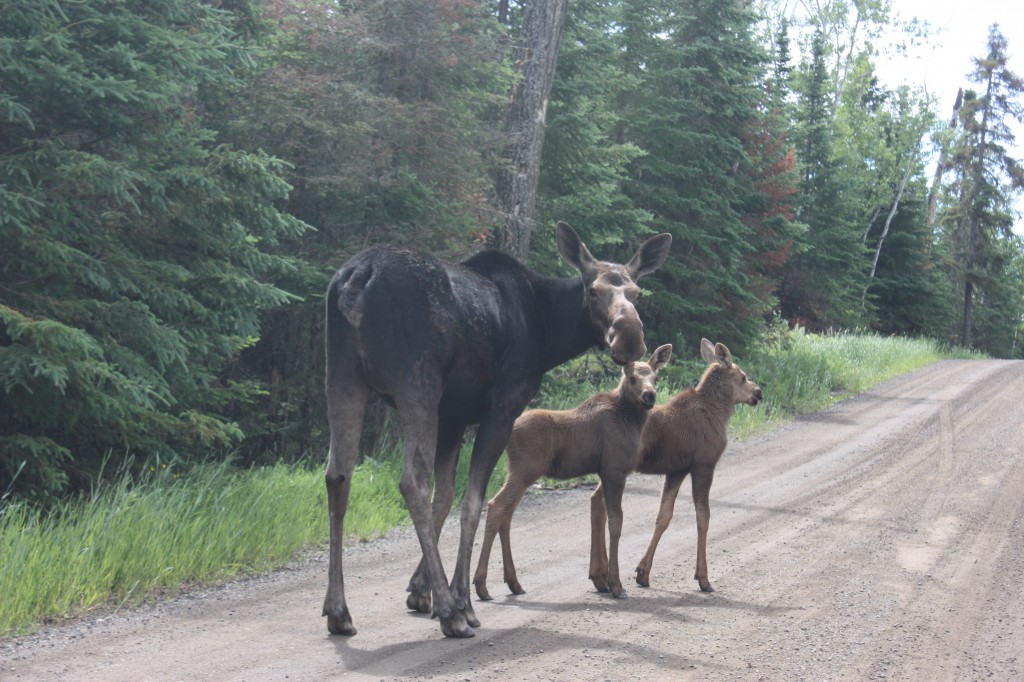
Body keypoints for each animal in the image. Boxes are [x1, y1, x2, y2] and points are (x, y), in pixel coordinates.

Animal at [472, 343, 673, 602]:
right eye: (632, 378)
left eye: (655, 377)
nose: (650, 396)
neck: (633, 421)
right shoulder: (615, 469)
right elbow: (616, 520)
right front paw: (616, 584)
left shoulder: (605, 471)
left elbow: (598, 511)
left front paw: (599, 578)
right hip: (524, 470)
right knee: (496, 506)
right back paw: (481, 585)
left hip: (517, 473)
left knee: (506, 513)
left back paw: (514, 583)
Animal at [591, 338, 762, 594]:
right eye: (742, 376)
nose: (758, 392)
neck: (720, 412)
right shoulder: (704, 464)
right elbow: (703, 516)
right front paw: (703, 578)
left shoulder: (677, 470)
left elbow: (664, 516)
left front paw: (643, 573)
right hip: (617, 468)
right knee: (601, 504)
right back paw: (605, 578)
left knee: (596, 501)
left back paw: (599, 577)